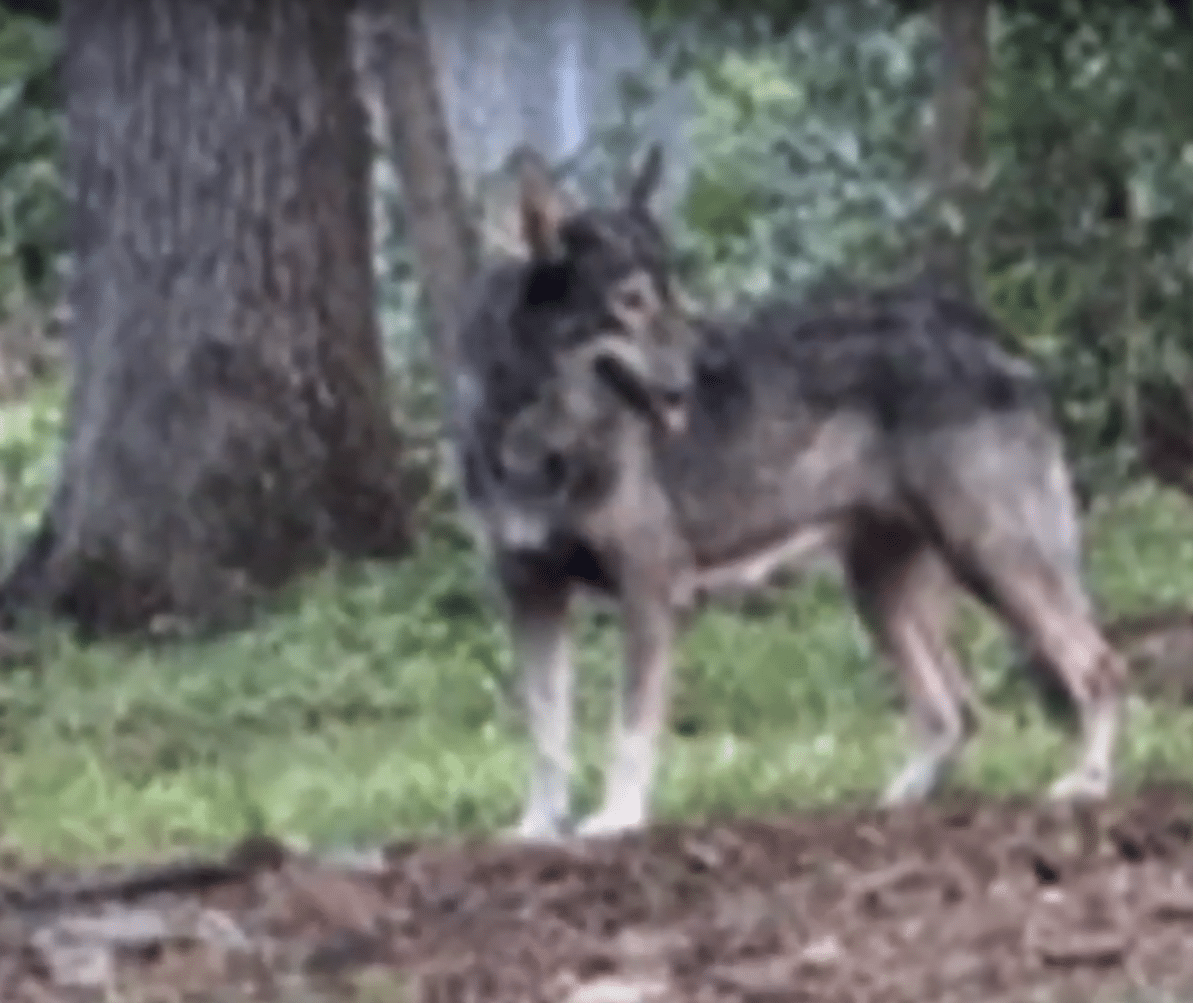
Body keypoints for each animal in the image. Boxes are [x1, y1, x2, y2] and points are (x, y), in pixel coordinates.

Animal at [452, 148, 1127, 842]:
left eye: (672, 295)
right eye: (631, 301)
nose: (706, 372)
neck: (538, 436)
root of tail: (983, 330)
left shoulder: (649, 590)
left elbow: (629, 729)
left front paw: (618, 818)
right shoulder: (532, 597)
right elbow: (546, 736)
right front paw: (538, 828)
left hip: (994, 561)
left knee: (1098, 669)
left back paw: (1087, 784)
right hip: (881, 593)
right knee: (955, 713)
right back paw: (898, 803)